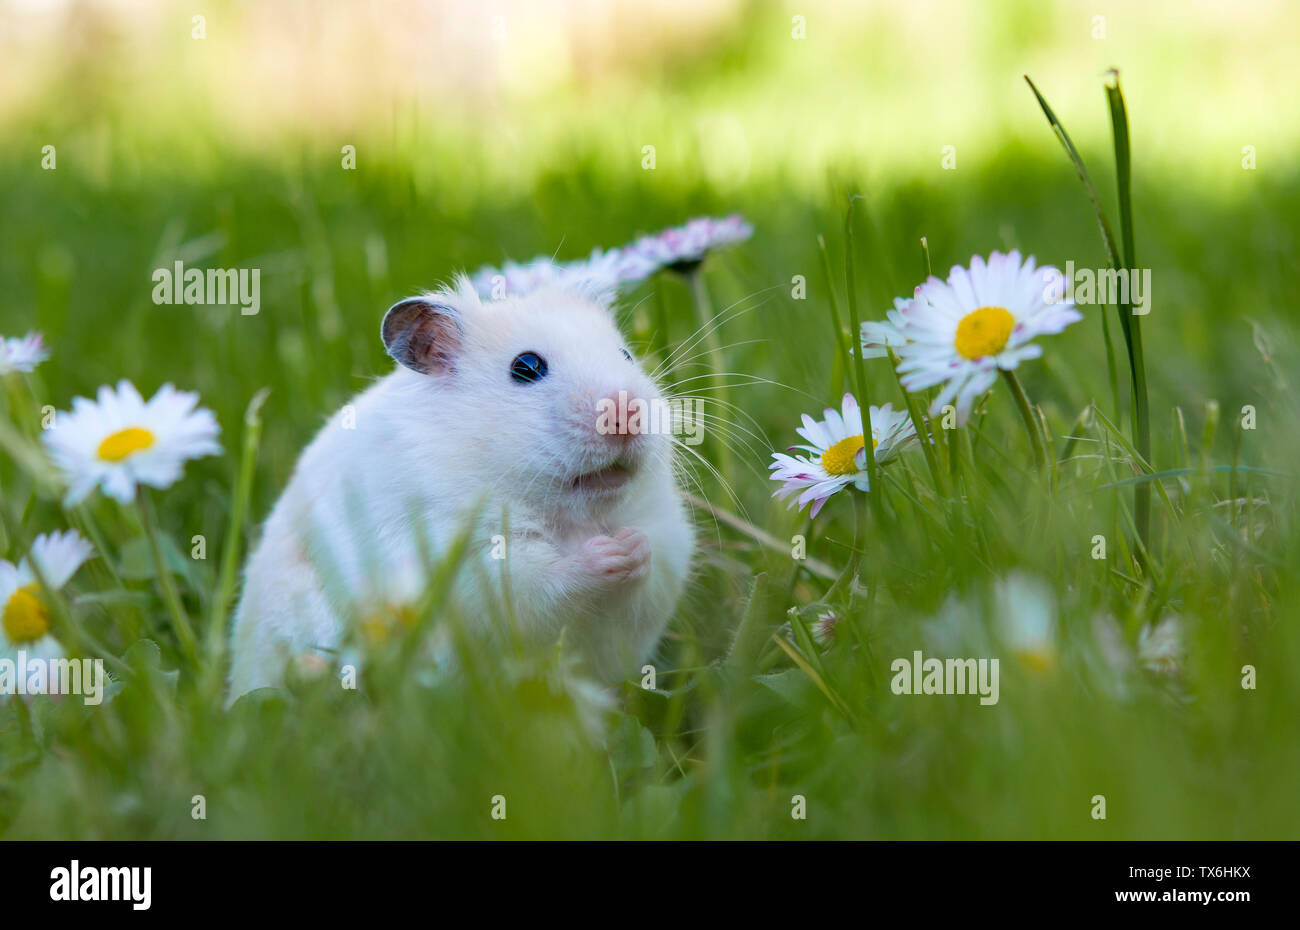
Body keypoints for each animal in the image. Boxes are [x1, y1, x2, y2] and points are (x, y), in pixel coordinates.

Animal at [226, 275, 695, 701]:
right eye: (526, 367)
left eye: (626, 354)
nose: (627, 412)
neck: (573, 514)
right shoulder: (467, 566)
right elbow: (543, 583)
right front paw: (610, 553)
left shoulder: (666, 547)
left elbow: (649, 569)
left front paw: (633, 545)